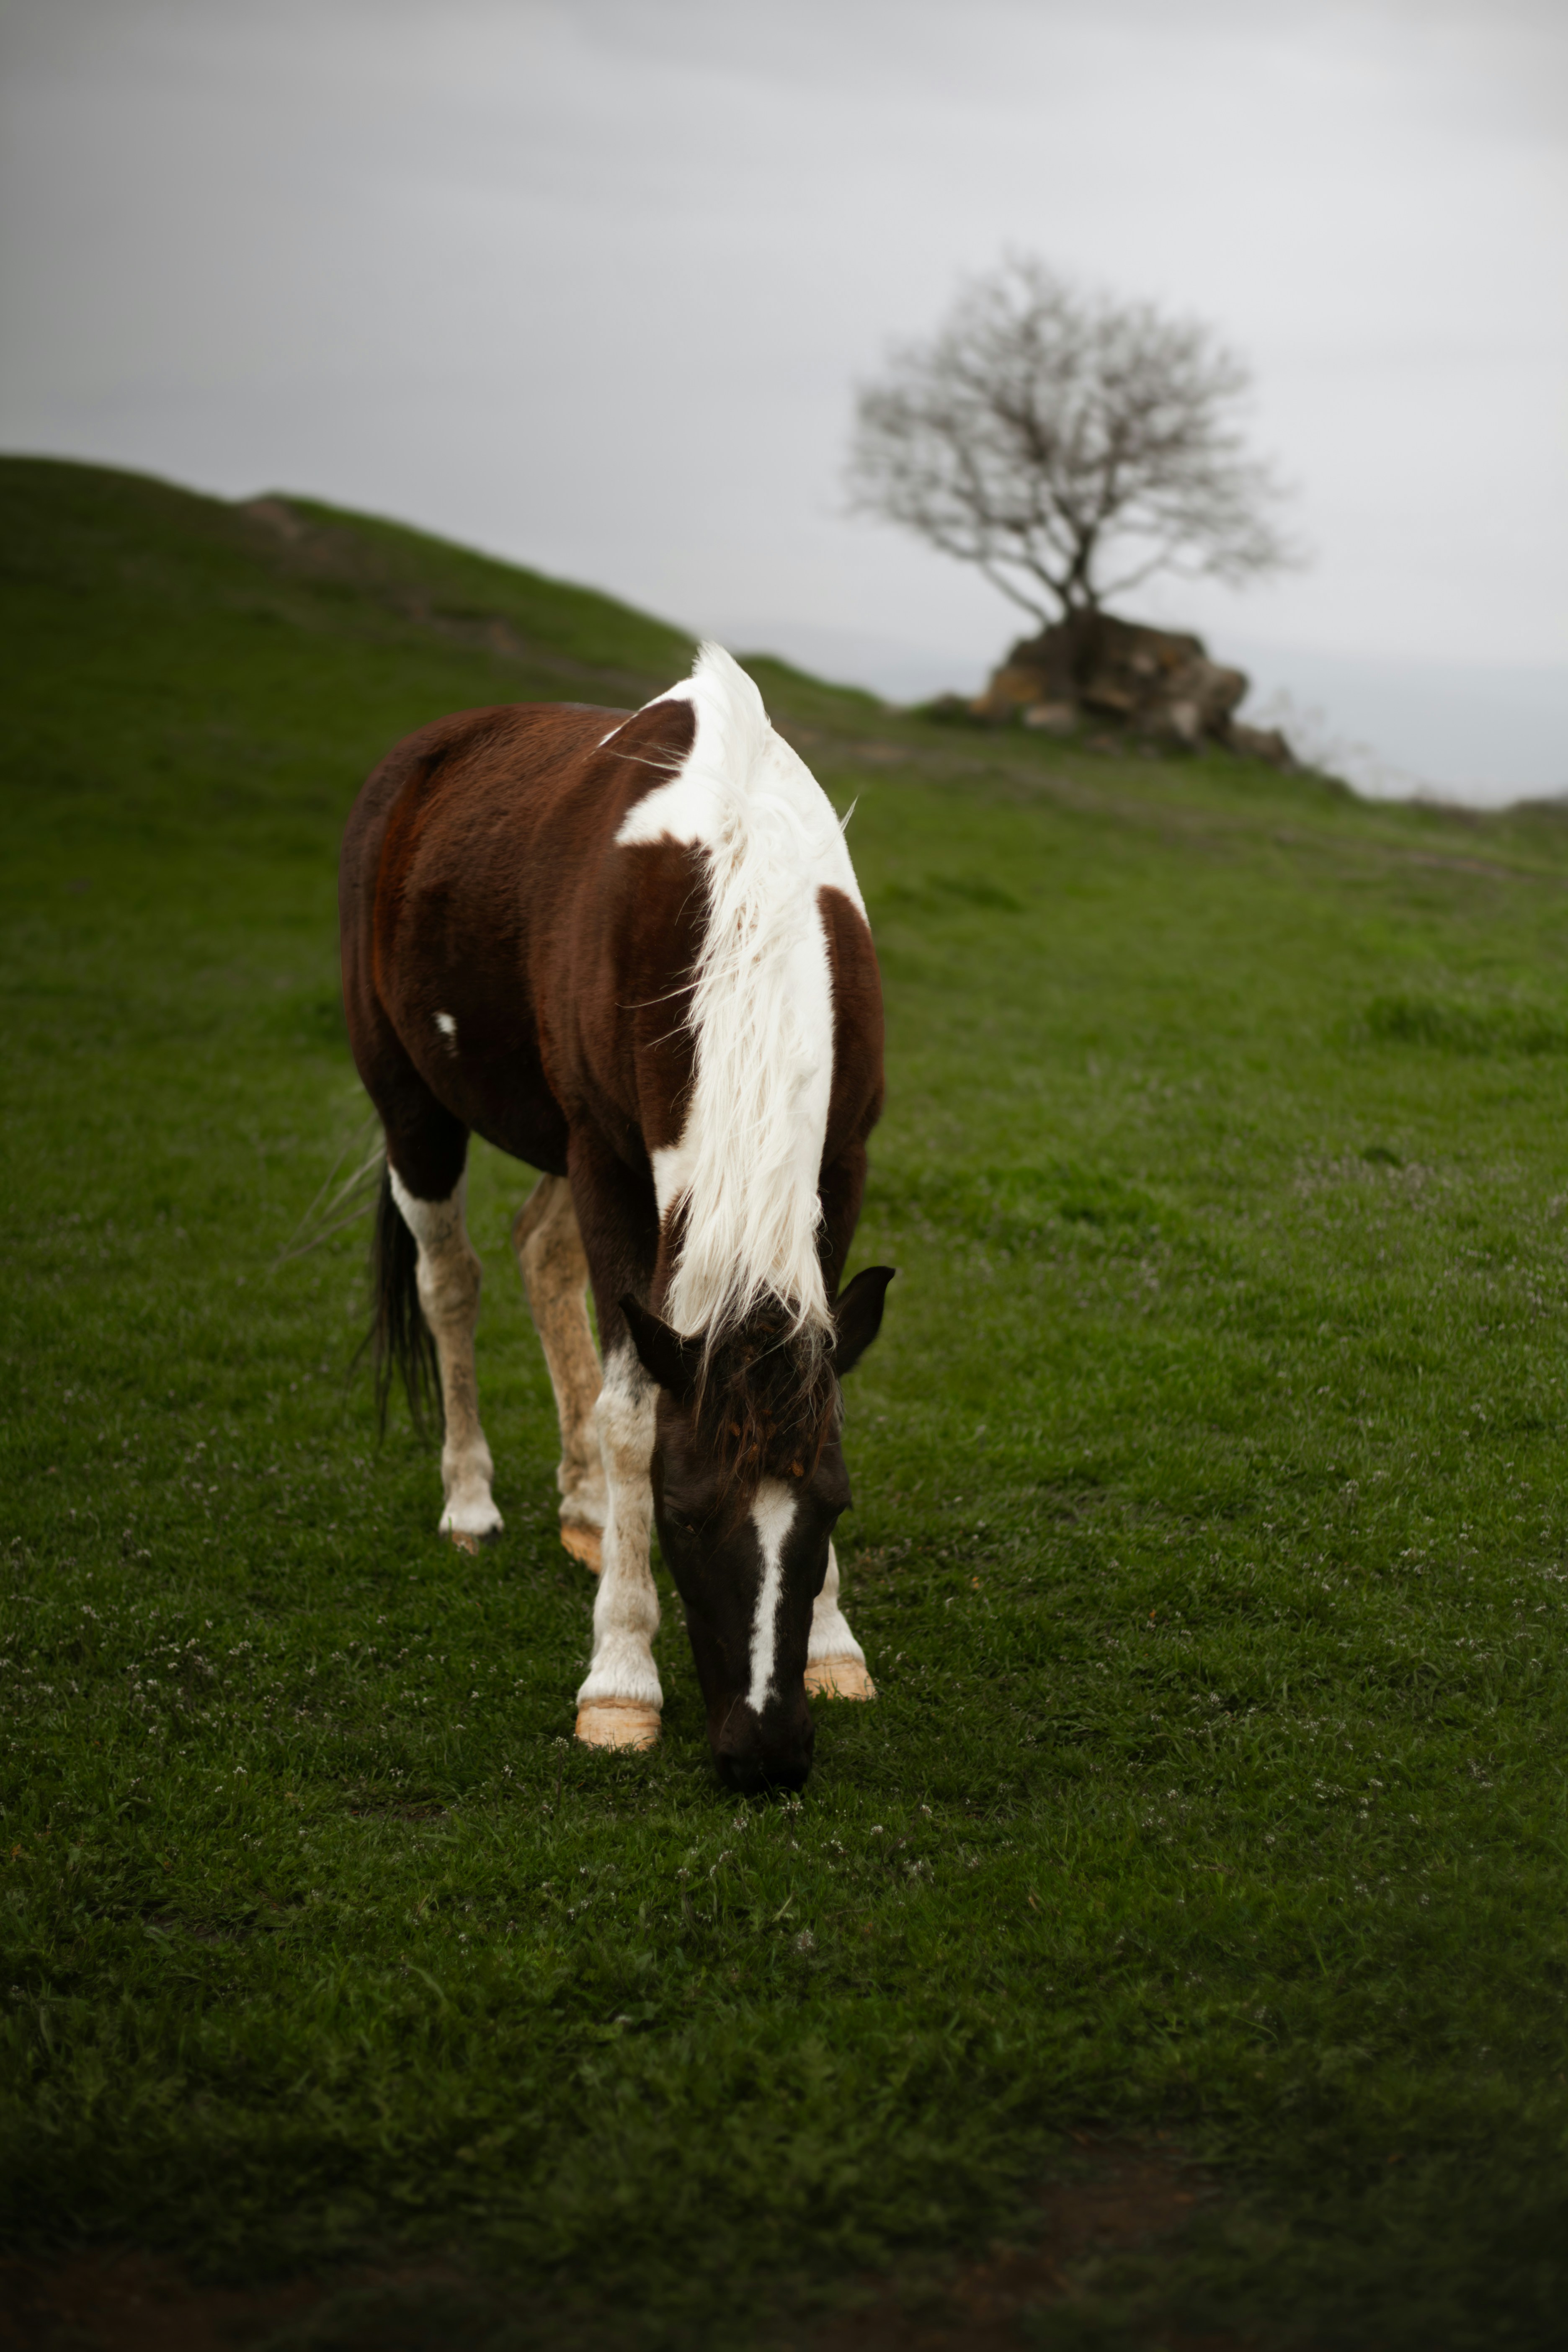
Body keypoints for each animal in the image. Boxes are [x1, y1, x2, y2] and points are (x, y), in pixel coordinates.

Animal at [339, 643, 893, 1792]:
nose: (766, 1752)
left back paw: (584, 1505)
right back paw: (471, 1501)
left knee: (536, 1252)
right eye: (683, 1510)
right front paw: (621, 1679)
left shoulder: (841, 1160)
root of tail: (422, 754)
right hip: (414, 1106)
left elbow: (815, 1390)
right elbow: (632, 1411)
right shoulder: (607, 1157)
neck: (741, 883)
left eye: (832, 1505)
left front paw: (832, 1644)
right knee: (449, 1279)